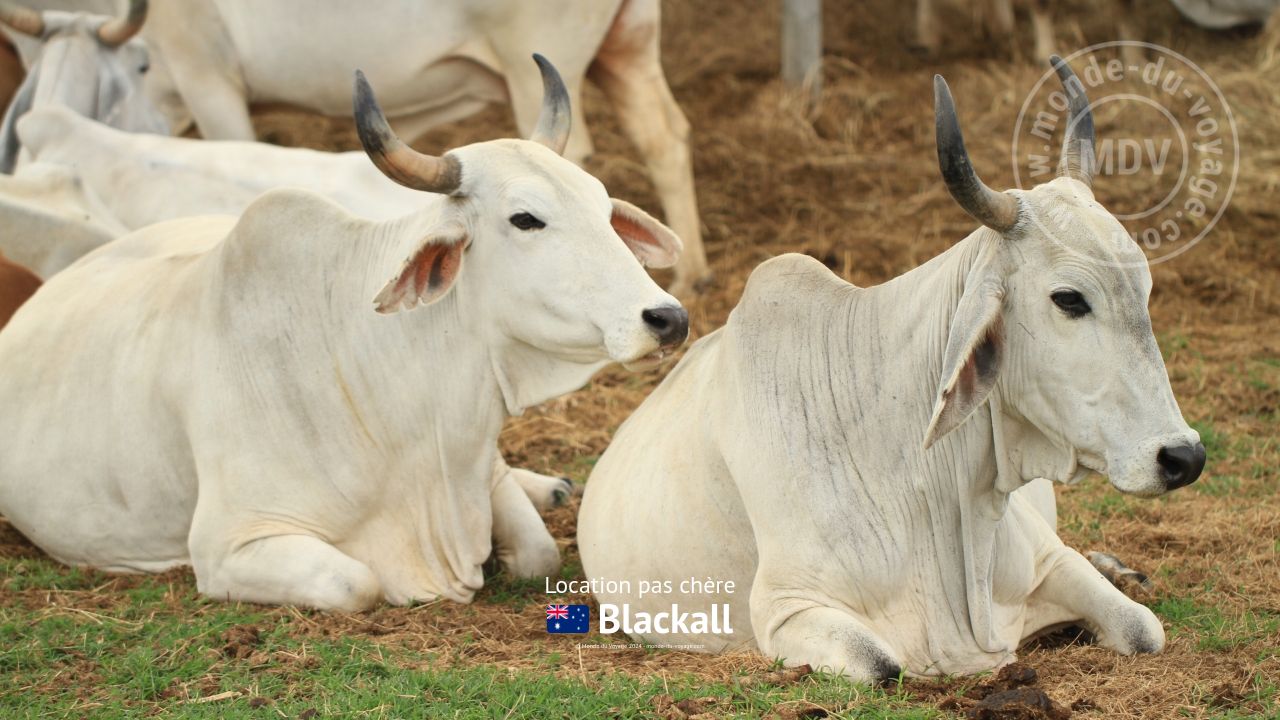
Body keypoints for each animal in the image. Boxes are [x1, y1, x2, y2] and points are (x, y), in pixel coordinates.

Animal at [0, 56, 691, 607]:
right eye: (526, 219)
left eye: (603, 206)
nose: (669, 318)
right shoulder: (230, 543)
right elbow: (356, 582)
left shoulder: (478, 467)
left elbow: (540, 552)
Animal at [576, 57, 1203, 676]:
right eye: (1069, 299)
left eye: (1145, 288)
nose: (1184, 457)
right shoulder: (787, 608)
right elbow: (884, 665)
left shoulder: (1050, 559)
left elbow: (1143, 629)